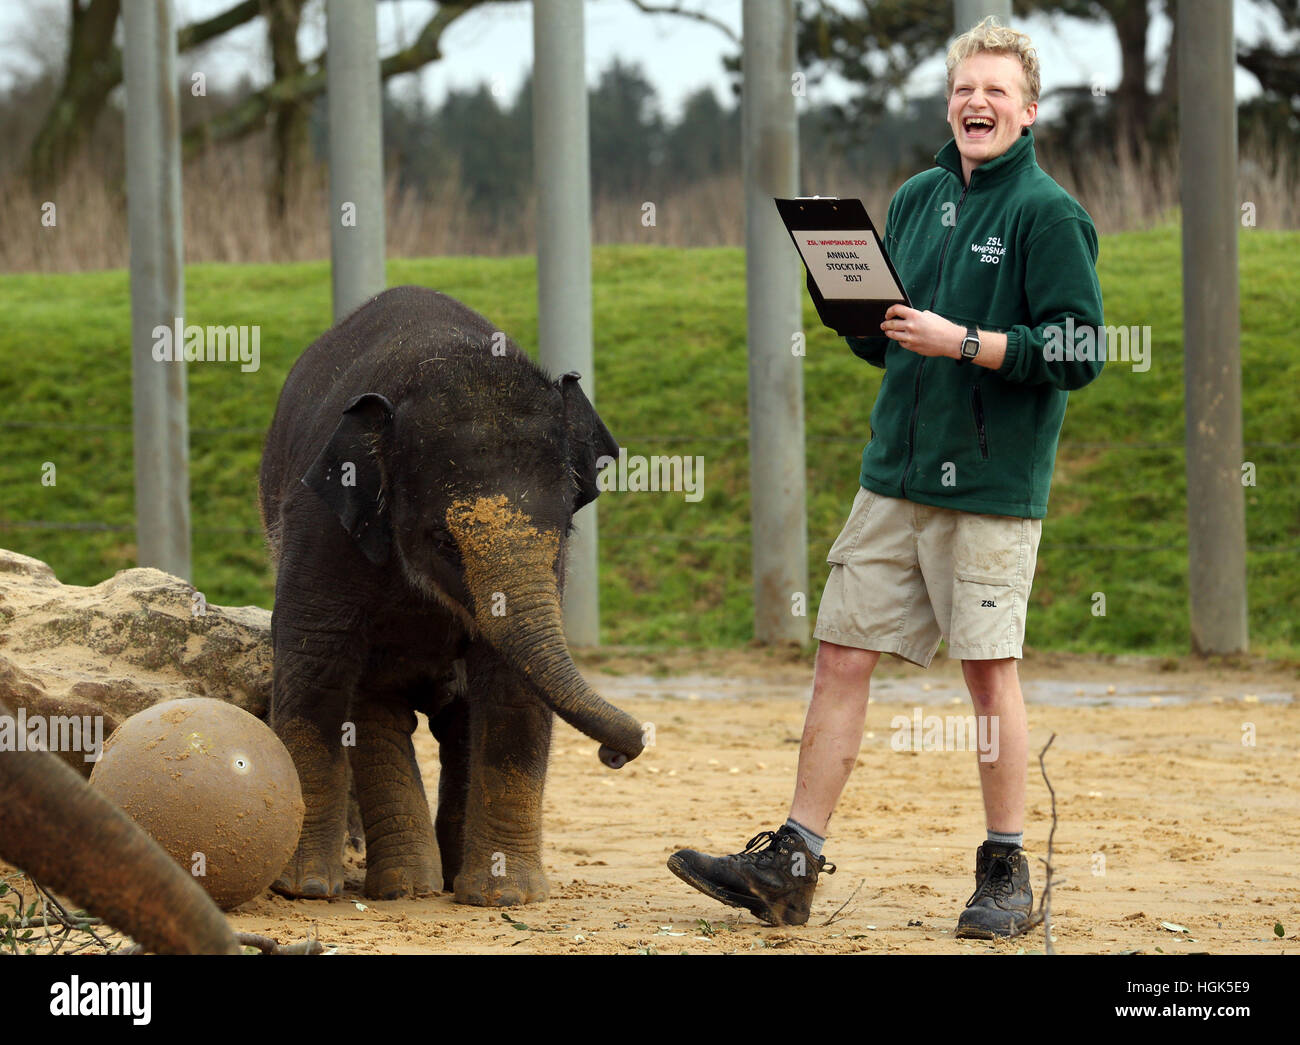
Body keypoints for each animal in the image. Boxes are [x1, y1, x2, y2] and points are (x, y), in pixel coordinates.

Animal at [258, 285, 645, 906]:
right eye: (443, 540)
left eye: (563, 531)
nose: (620, 751)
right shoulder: (323, 526)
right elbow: (315, 659)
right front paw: (304, 889)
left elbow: (512, 683)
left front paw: (508, 898)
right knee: (376, 702)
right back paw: (407, 887)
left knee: (454, 721)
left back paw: (440, 878)